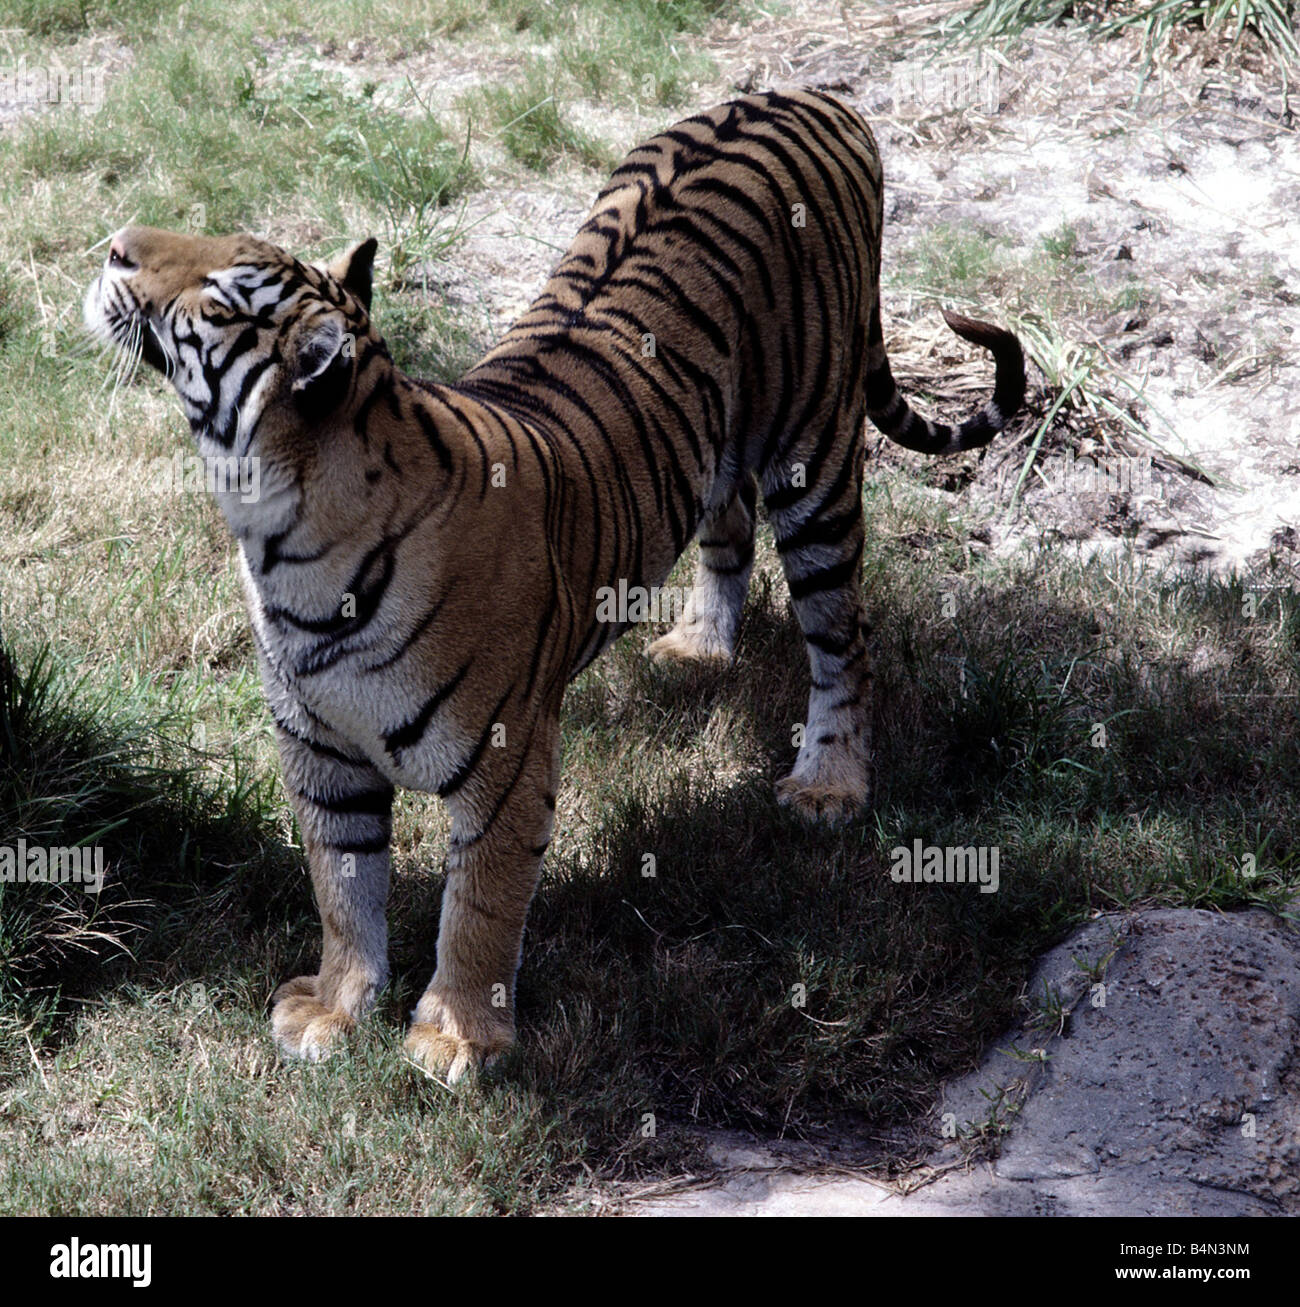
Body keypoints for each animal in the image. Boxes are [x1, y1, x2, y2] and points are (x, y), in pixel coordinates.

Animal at [84, 89, 1025, 1082]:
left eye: (219, 292)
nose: (115, 243)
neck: (277, 532)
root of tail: (806, 95)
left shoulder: (506, 760)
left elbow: (481, 908)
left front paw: (454, 1038)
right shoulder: (319, 750)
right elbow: (341, 883)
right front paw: (336, 1008)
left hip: (817, 459)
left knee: (845, 636)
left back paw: (829, 785)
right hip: (714, 441)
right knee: (727, 516)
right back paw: (702, 647)